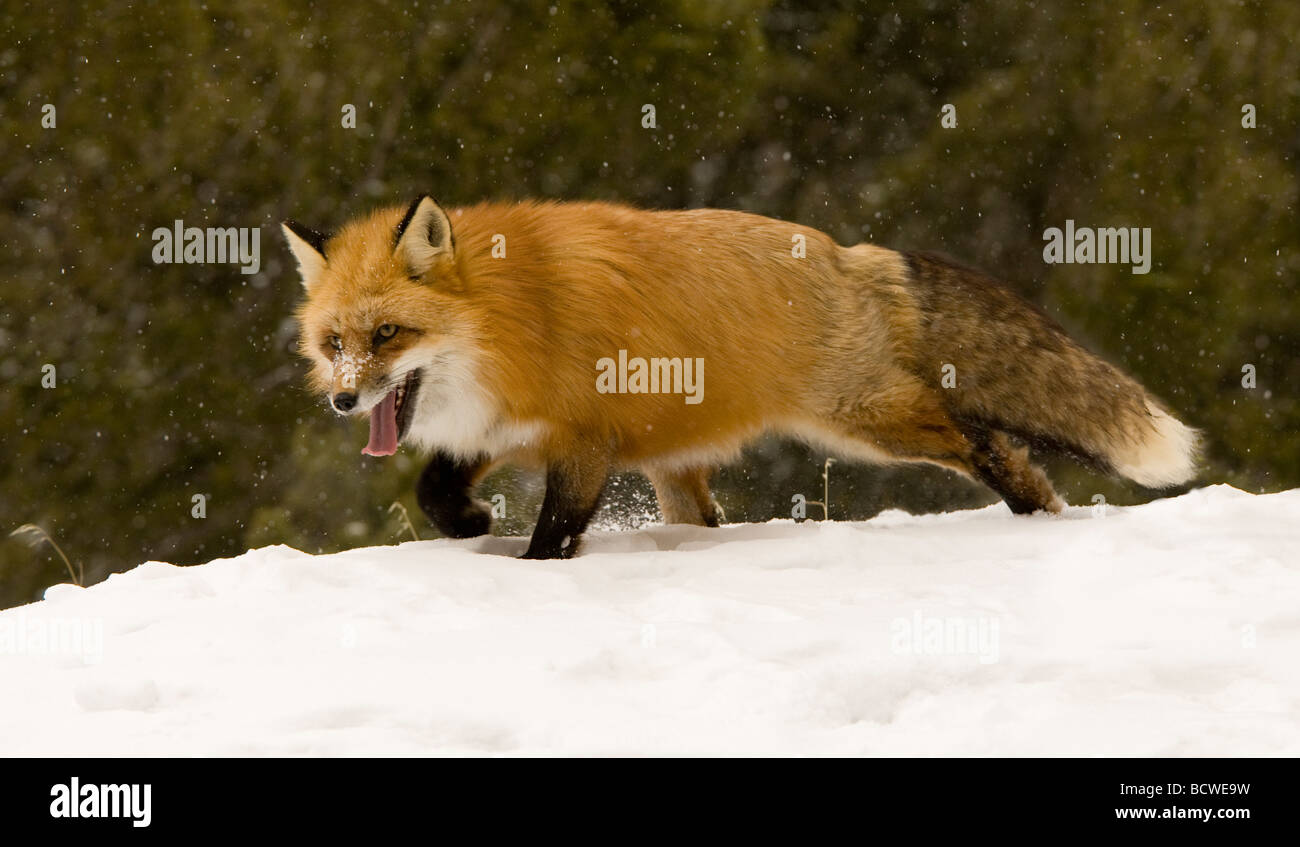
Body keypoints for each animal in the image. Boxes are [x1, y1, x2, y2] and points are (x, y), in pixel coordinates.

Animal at [282, 196, 1199, 559]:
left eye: (388, 334)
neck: (510, 317)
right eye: (335, 342)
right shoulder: (503, 424)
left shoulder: (583, 438)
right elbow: (436, 489)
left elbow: (554, 535)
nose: (345, 397)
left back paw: (1039, 515)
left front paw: (525, 564)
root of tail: (848, 252)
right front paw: (471, 524)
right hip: (679, 469)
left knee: (992, 443)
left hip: (866, 419)